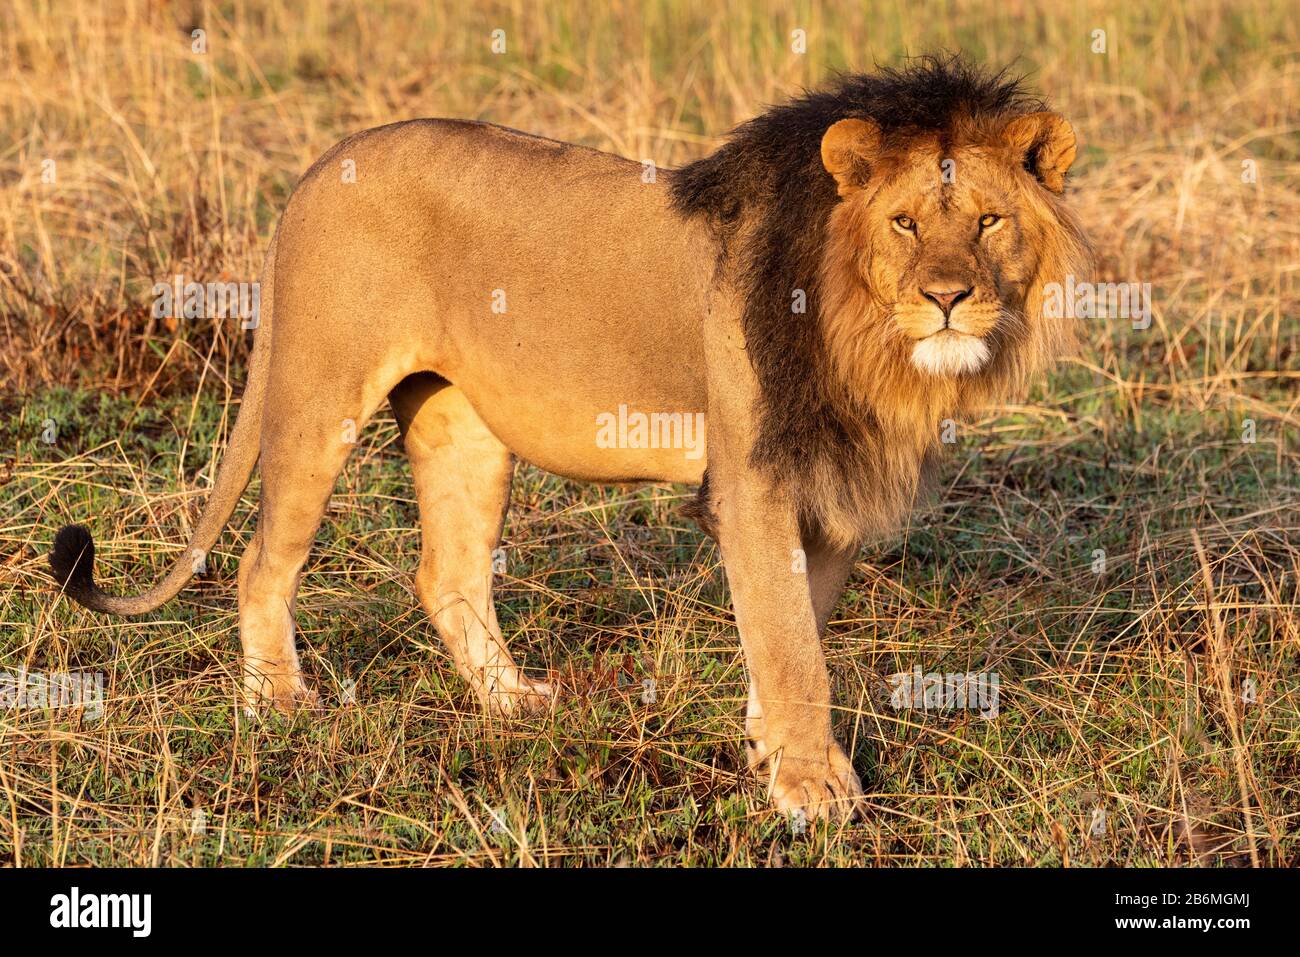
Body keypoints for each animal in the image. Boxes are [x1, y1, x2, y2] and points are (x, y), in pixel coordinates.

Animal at [50, 56, 1089, 821]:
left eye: (989, 220)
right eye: (906, 222)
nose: (948, 297)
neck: (870, 340)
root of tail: (323, 162)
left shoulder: (830, 483)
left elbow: (796, 623)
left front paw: (768, 748)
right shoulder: (754, 476)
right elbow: (794, 642)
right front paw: (813, 788)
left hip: (462, 426)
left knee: (448, 573)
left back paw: (514, 705)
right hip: (319, 394)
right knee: (264, 557)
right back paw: (282, 706)